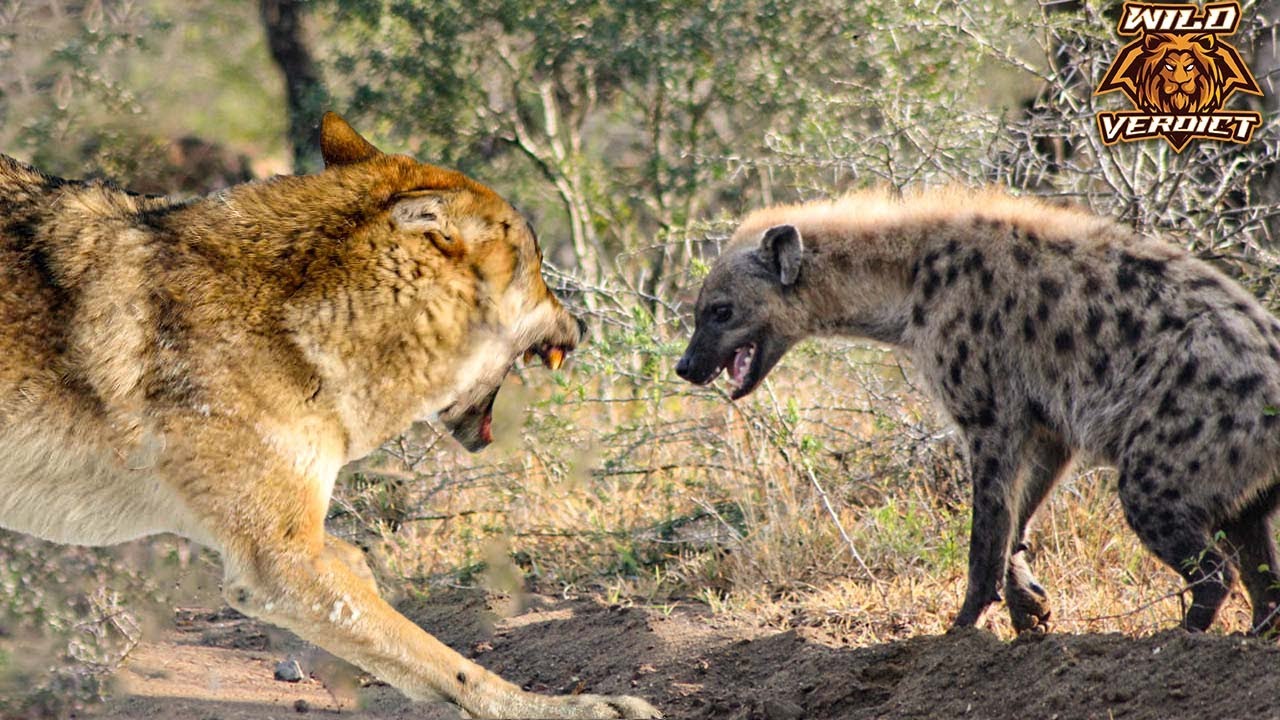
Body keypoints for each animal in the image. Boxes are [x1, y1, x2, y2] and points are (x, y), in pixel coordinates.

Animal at [0, 113, 659, 719]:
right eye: (540, 264)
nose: (584, 323)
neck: (296, 321)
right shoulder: (278, 564)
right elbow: (448, 661)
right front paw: (559, 707)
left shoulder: (283, 535)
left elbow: (369, 585)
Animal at [677, 187, 1280, 636]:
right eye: (698, 310)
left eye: (720, 311)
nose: (685, 367)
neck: (907, 282)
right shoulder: (1046, 424)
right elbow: (1018, 515)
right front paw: (1028, 607)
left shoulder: (989, 410)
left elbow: (987, 525)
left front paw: (962, 627)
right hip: (1240, 483)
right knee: (1261, 566)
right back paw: (1252, 636)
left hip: (1173, 453)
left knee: (1215, 568)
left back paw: (1180, 639)